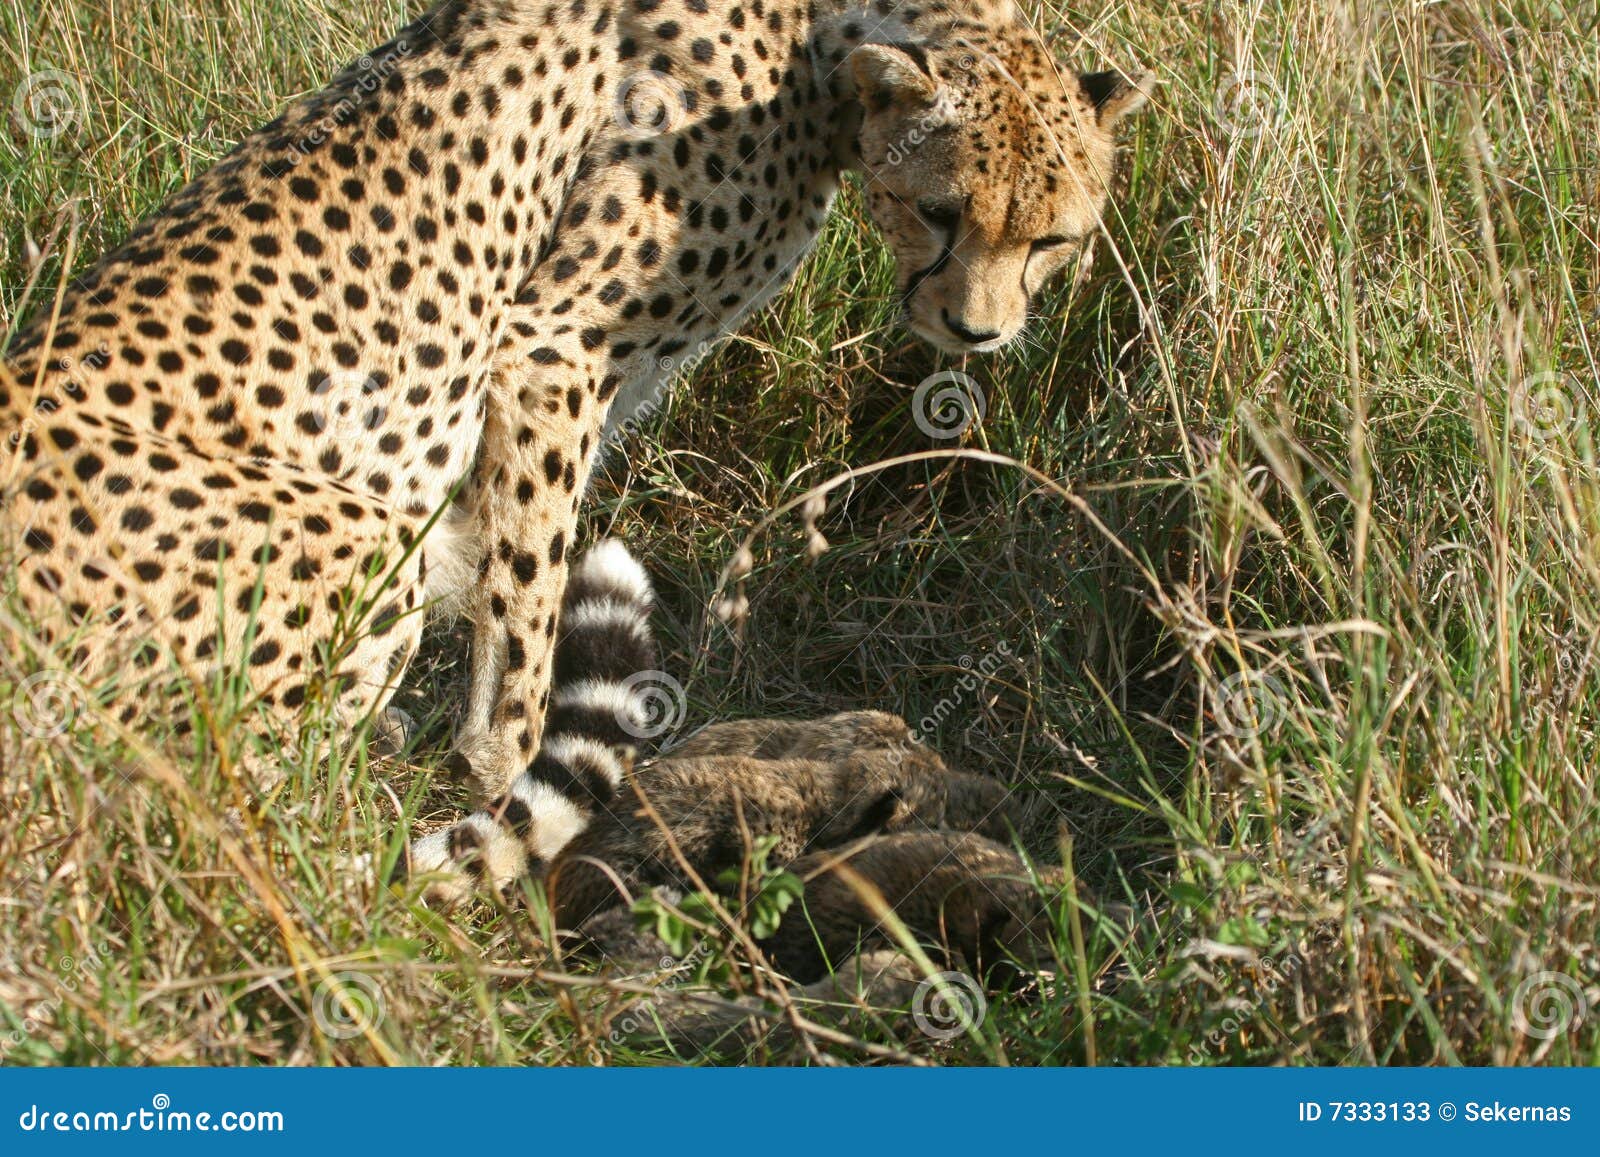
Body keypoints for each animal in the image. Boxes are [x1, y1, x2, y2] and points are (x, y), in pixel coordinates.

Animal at [0, 0, 1150, 845]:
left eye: (1051, 238)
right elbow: (526, 615)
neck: (816, 44)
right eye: (941, 210)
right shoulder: (547, 352)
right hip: (356, 538)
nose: (976, 332)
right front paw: (509, 786)